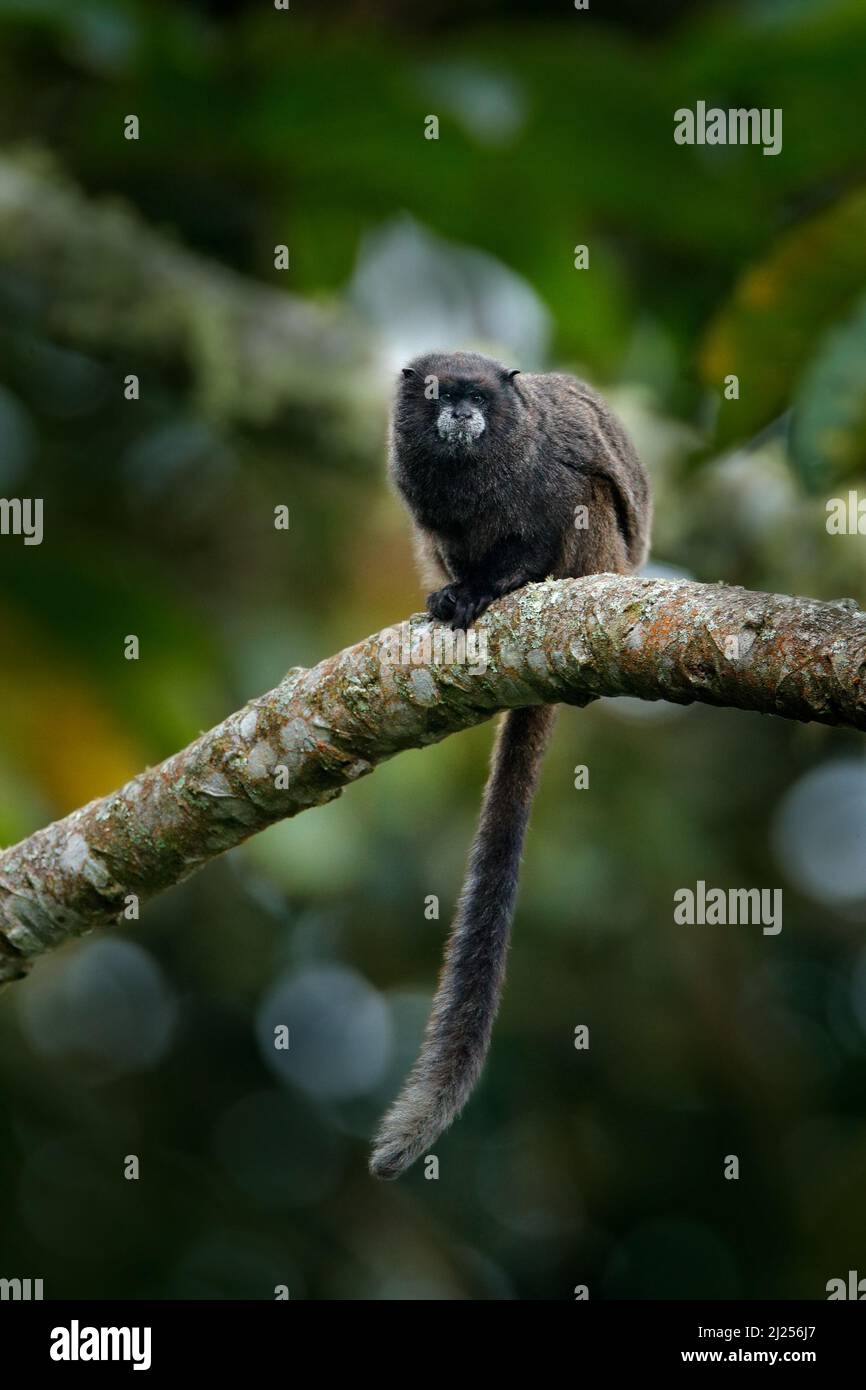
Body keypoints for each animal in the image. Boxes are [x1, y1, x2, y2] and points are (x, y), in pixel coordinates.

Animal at [370, 349, 651, 1180]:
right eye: (439, 394)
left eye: (478, 397)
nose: (460, 414)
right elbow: (445, 537)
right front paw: (457, 591)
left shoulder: (546, 476)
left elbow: (552, 517)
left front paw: (497, 586)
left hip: (606, 559)